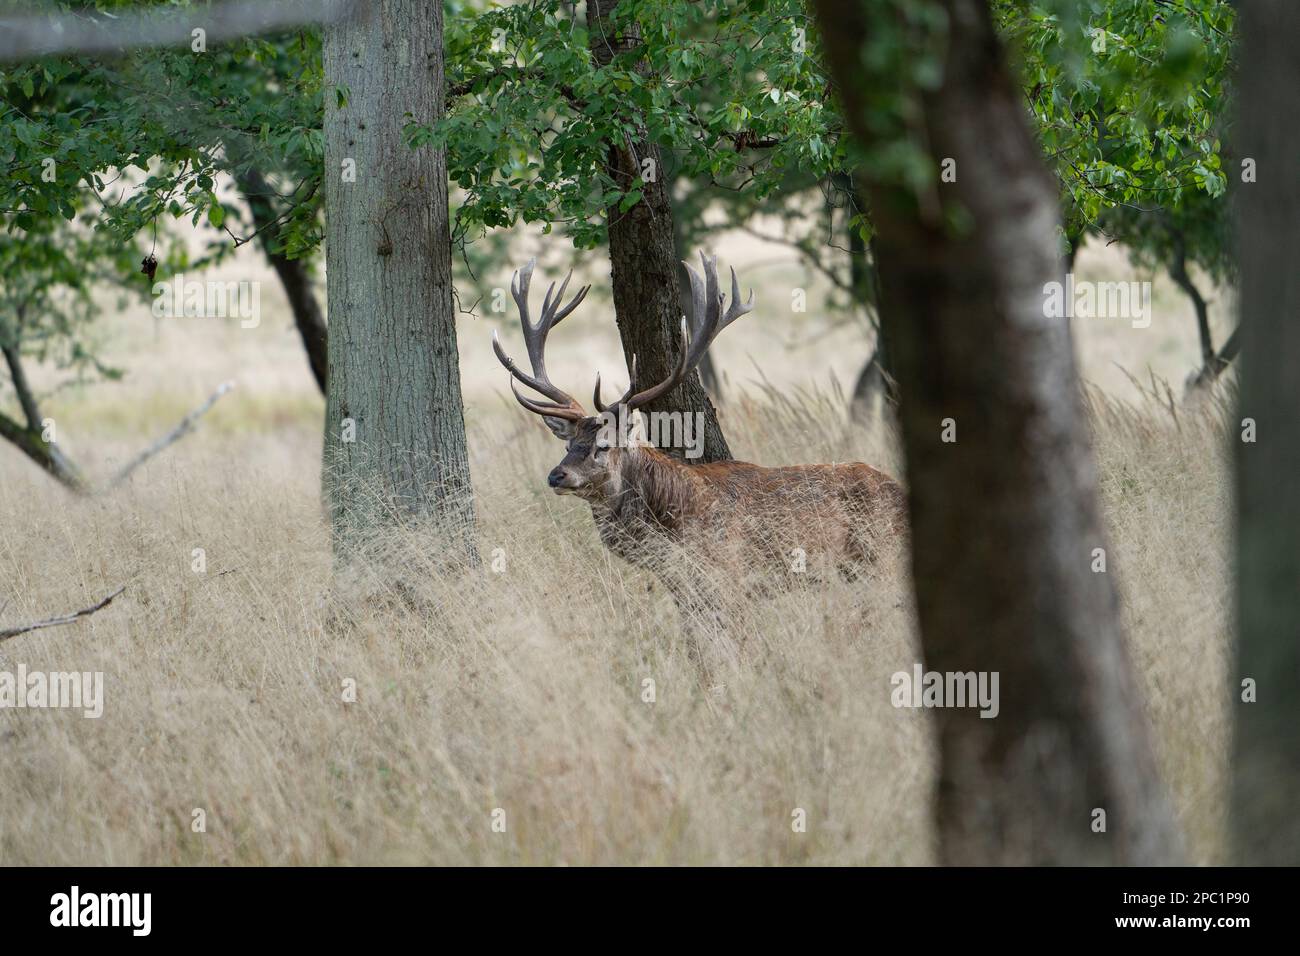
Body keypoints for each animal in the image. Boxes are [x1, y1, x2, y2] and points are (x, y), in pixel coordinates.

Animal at [492, 253, 906, 640]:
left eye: (604, 446)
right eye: (569, 443)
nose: (556, 475)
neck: (675, 514)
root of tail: (899, 492)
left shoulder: (729, 575)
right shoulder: (683, 587)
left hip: (878, 560)